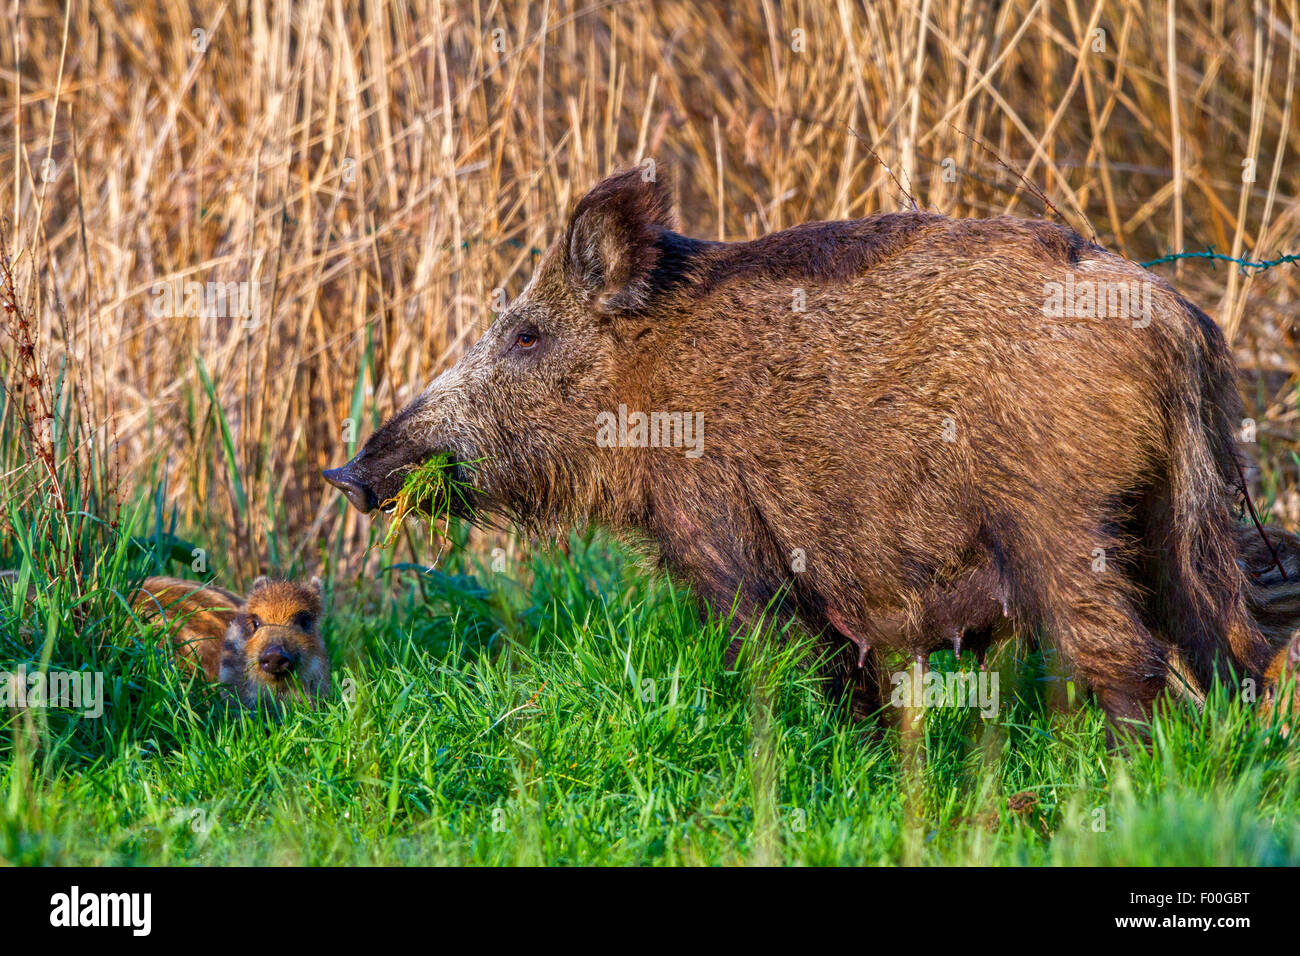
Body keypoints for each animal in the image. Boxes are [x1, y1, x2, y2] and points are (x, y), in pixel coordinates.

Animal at [325, 167, 1281, 734]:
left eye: (525, 335)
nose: (348, 473)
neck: (650, 382)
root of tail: (1178, 324)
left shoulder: (721, 534)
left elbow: (784, 662)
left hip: (1059, 520)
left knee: (1127, 656)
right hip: (1175, 513)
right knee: (1230, 646)